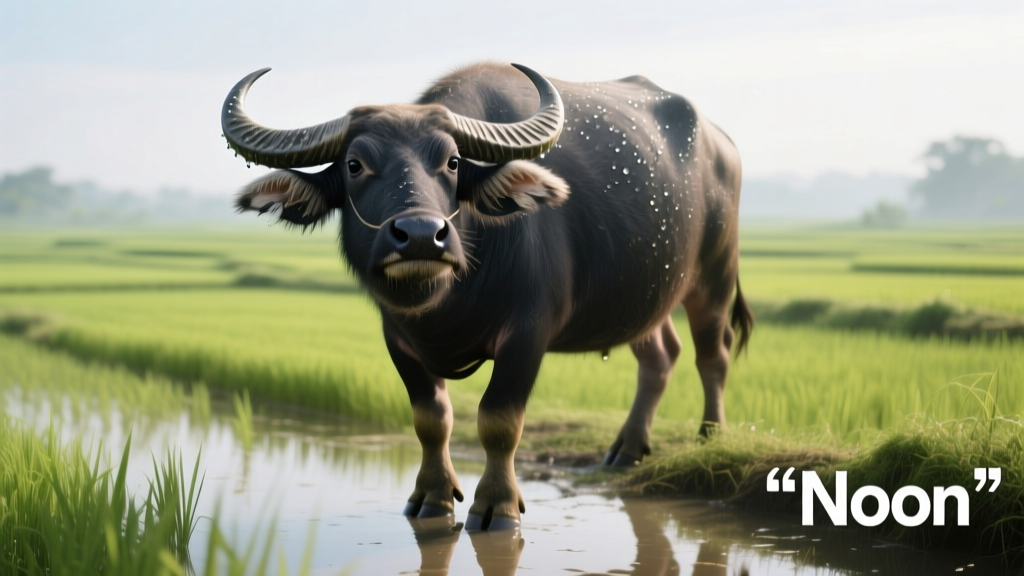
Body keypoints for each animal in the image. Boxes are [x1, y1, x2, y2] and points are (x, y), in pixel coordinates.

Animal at [221, 62, 753, 531]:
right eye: (355, 164)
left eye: (452, 162)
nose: (420, 235)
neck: (446, 301)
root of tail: (723, 143)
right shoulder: (398, 337)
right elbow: (431, 419)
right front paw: (432, 499)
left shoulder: (528, 334)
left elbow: (499, 420)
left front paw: (498, 507)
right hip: (642, 295)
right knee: (661, 354)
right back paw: (627, 449)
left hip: (714, 275)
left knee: (713, 355)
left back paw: (709, 436)